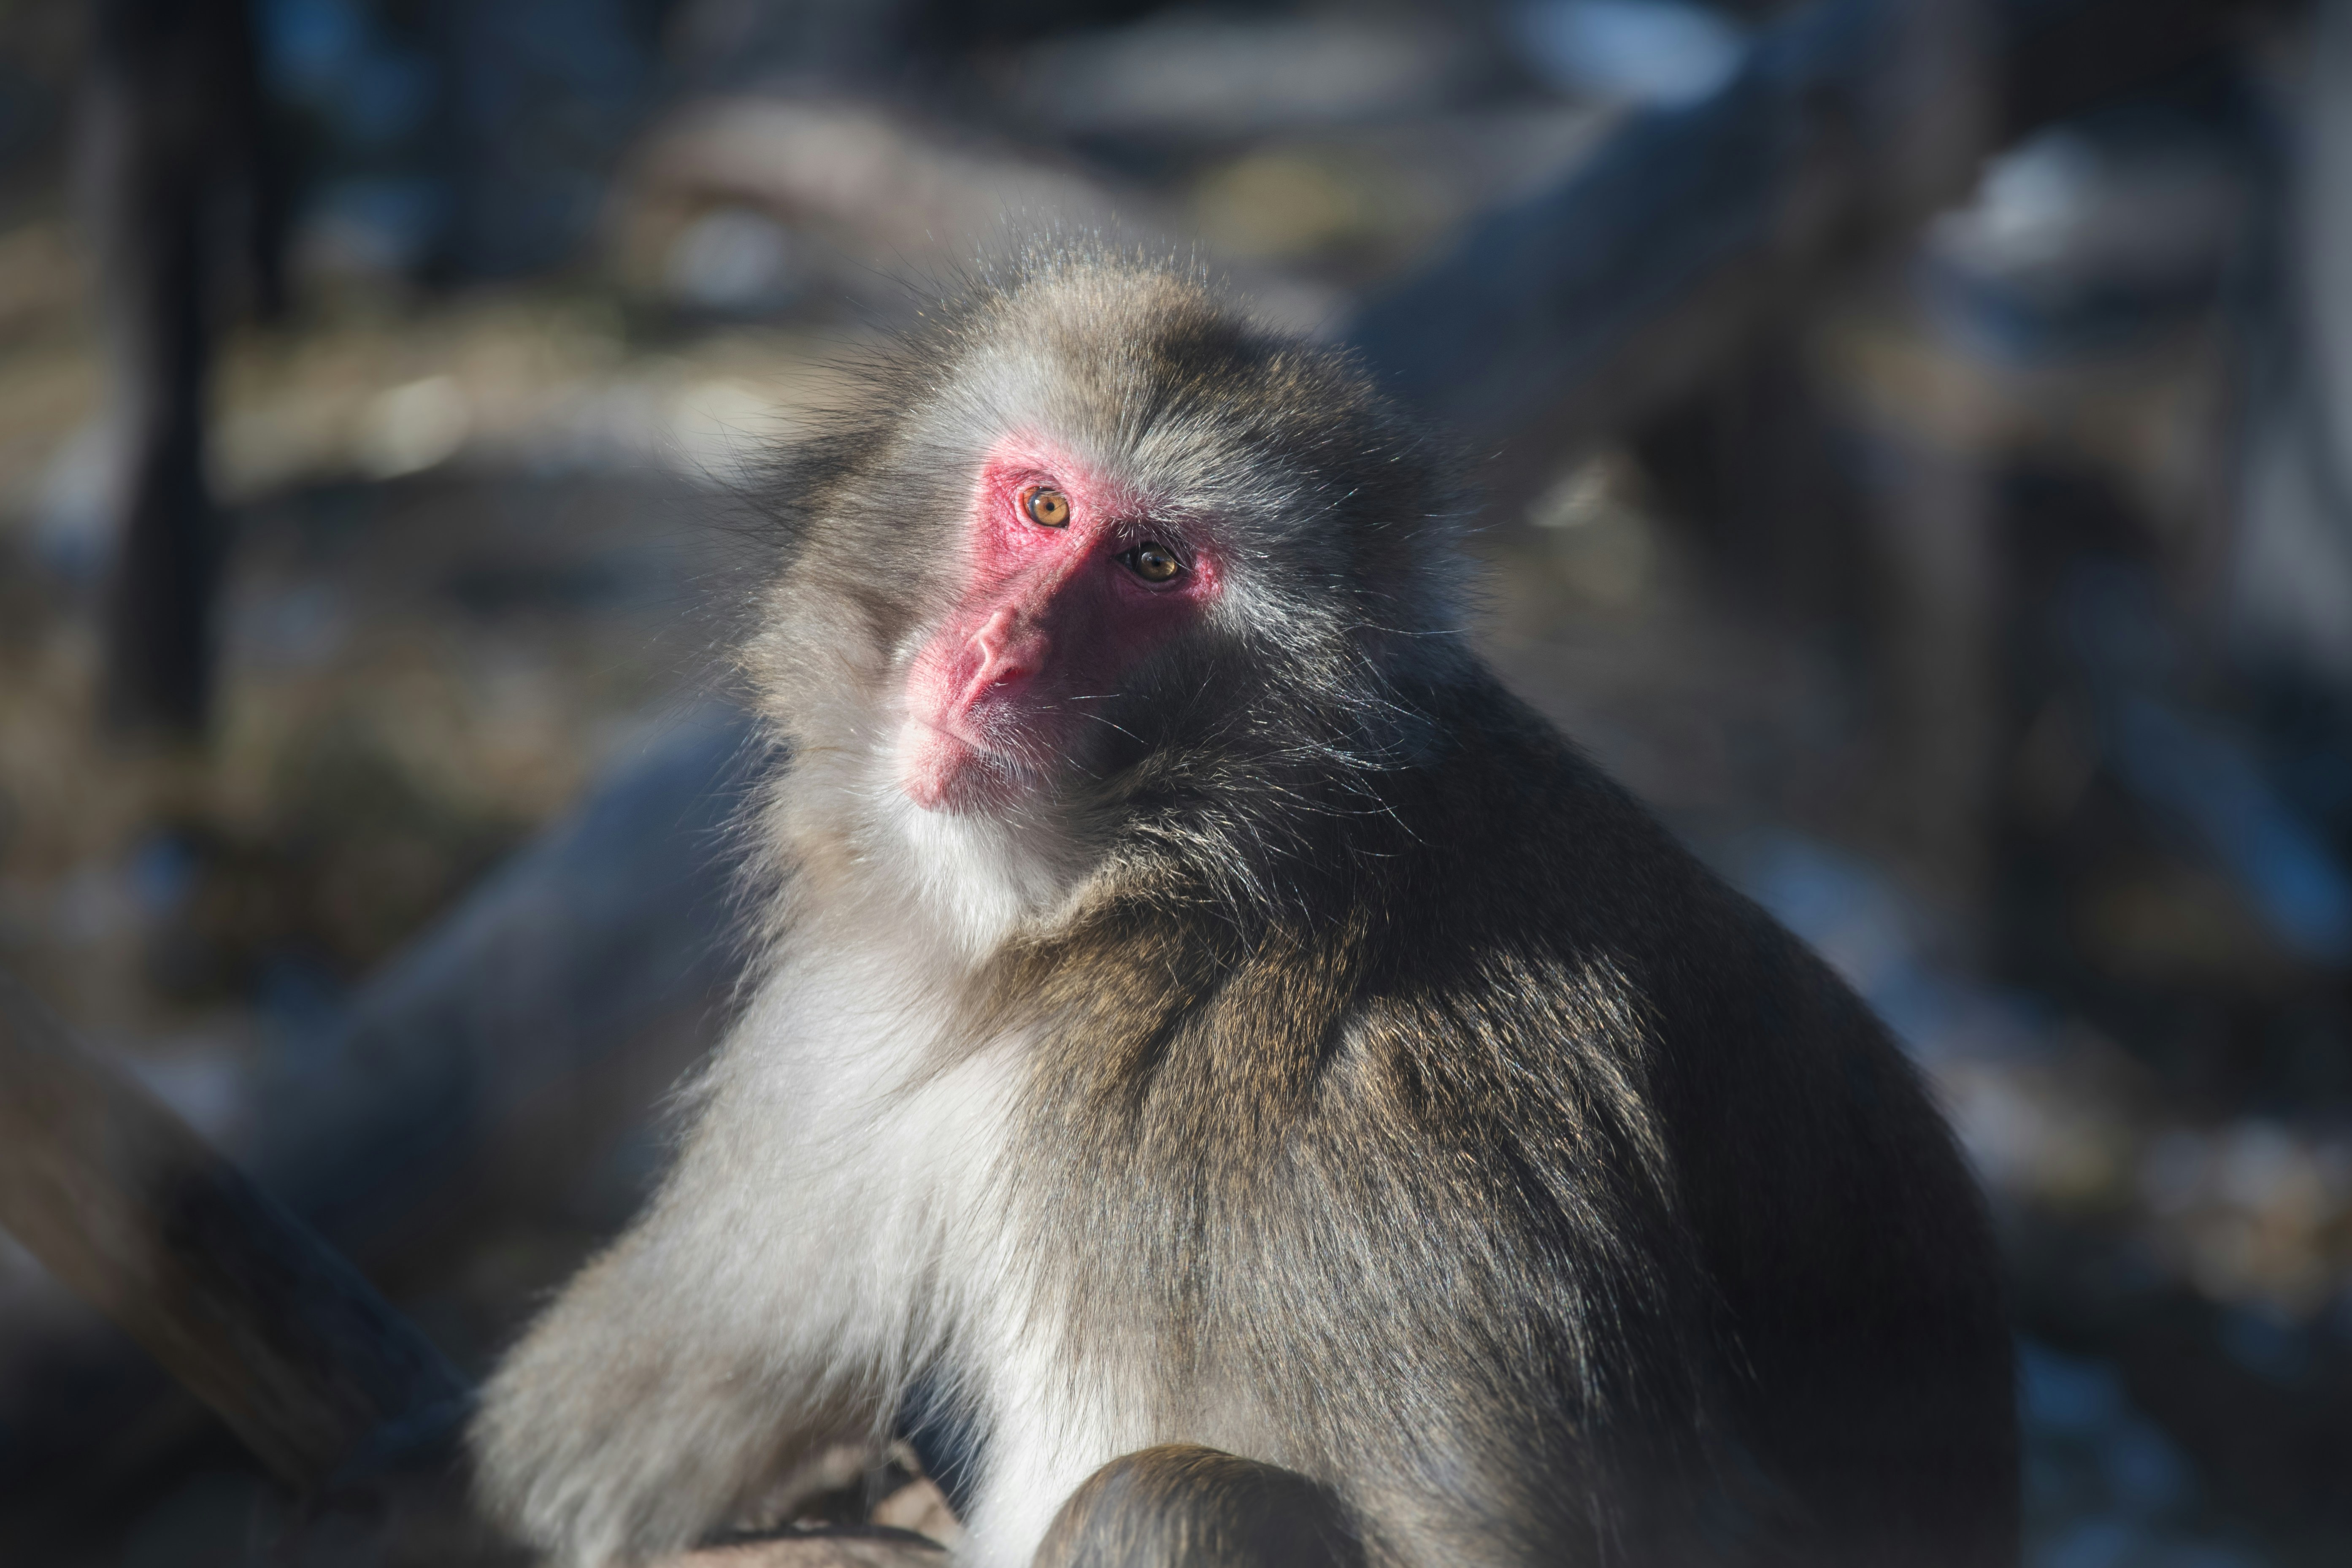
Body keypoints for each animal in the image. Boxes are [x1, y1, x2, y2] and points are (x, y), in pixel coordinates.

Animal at [470, 248, 2018, 1568]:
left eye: (1153, 565)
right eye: (1043, 507)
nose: (994, 651)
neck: (1172, 898)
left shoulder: (1388, 1152)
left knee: (1162, 1501)